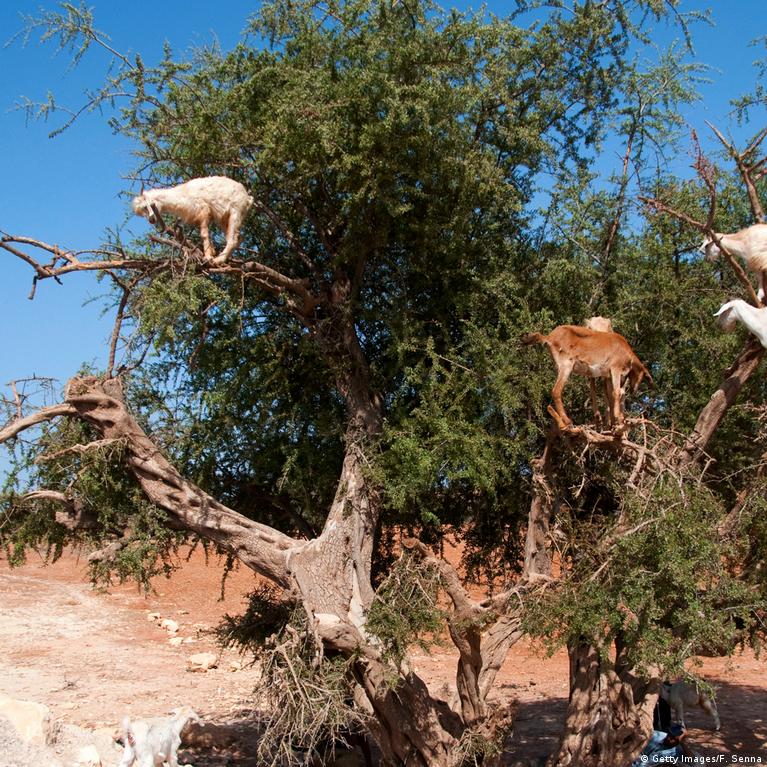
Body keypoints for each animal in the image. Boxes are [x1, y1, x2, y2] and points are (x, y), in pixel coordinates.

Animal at [522, 325, 652, 430]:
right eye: (641, 376)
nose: (634, 390)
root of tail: (549, 337)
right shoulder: (615, 369)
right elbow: (616, 393)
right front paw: (619, 419)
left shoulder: (608, 376)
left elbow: (610, 397)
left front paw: (612, 424)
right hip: (566, 365)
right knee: (556, 391)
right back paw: (567, 422)